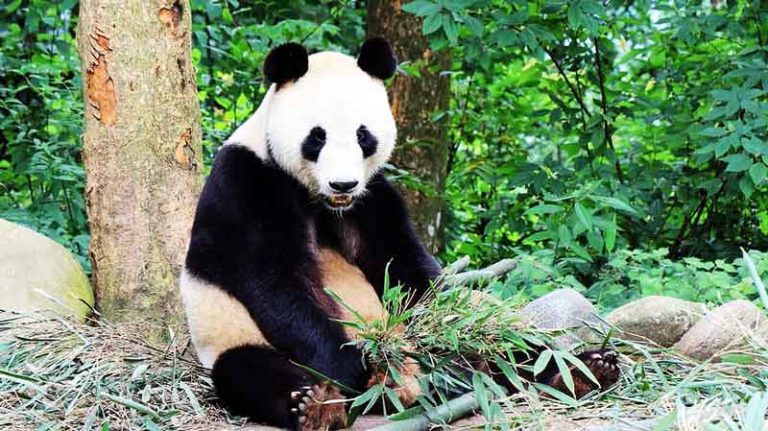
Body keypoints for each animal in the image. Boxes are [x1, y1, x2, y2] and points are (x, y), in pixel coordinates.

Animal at [180, 38, 620, 431]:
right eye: (317, 136)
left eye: (363, 135)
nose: (343, 183)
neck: (322, 201)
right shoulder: (249, 182)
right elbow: (275, 280)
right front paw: (357, 368)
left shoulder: (373, 198)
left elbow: (407, 271)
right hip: (232, 336)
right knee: (253, 372)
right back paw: (318, 403)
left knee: (509, 346)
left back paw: (581, 369)